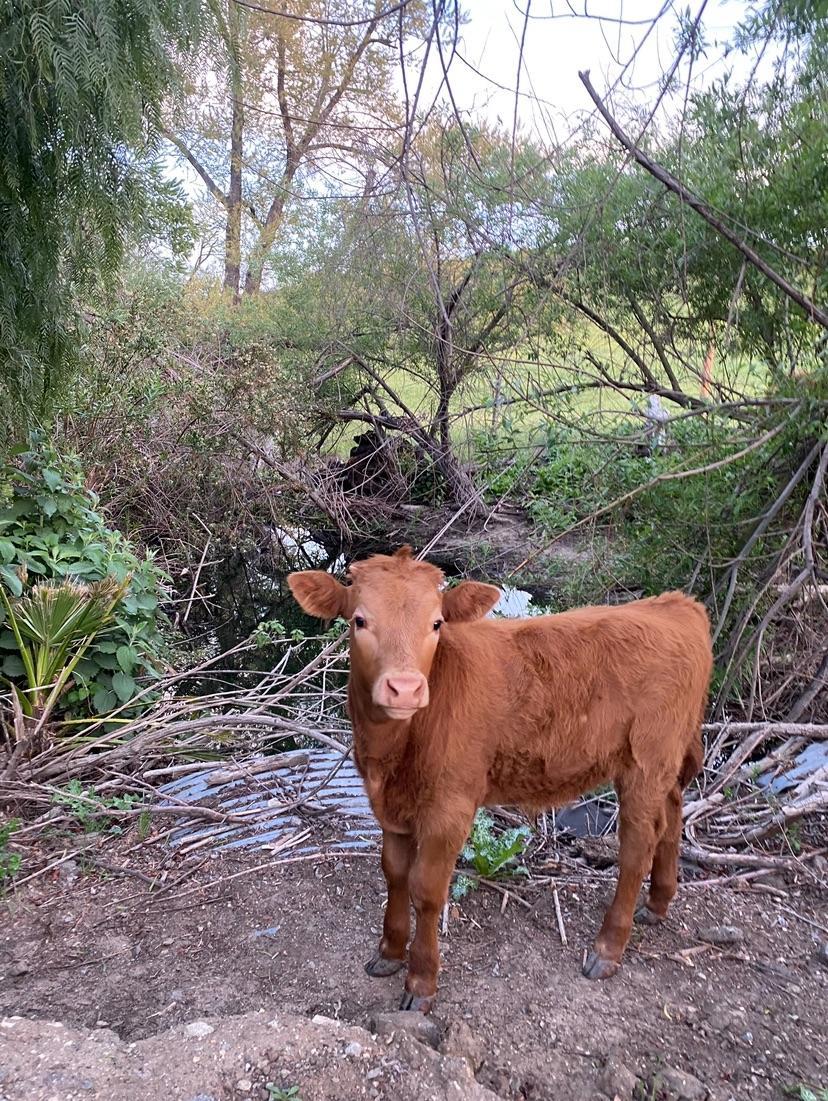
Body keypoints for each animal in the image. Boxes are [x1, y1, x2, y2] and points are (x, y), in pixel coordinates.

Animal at [288, 547, 712, 1013]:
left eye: (436, 623)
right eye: (359, 620)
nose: (405, 687)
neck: (393, 753)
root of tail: (674, 605)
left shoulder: (451, 806)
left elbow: (426, 889)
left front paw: (421, 981)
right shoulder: (389, 804)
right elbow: (394, 873)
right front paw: (389, 953)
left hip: (645, 761)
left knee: (638, 845)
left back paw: (607, 948)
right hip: (664, 761)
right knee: (671, 814)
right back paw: (657, 904)